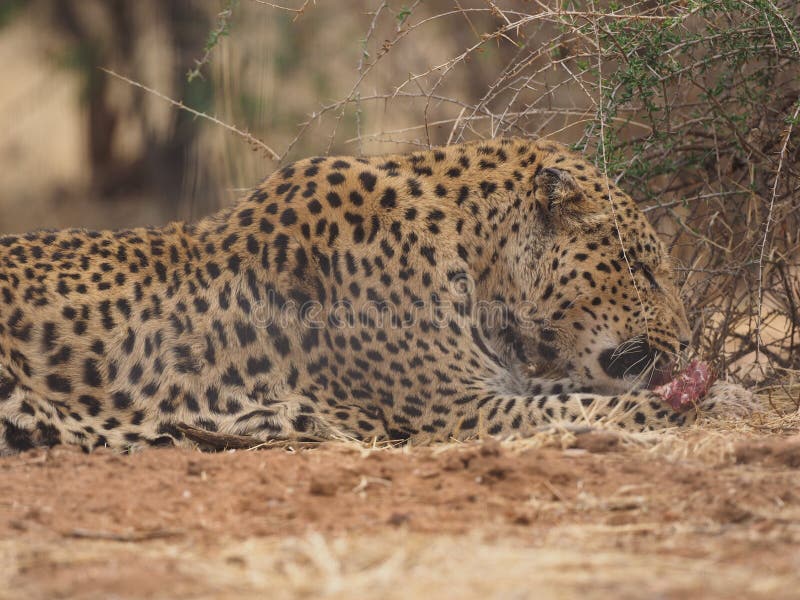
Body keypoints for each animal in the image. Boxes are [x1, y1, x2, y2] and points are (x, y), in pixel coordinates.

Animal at [0, 137, 753, 454]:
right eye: (643, 269)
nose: (688, 341)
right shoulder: (456, 410)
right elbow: (591, 405)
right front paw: (688, 406)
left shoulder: (492, 383)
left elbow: (582, 391)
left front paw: (727, 392)